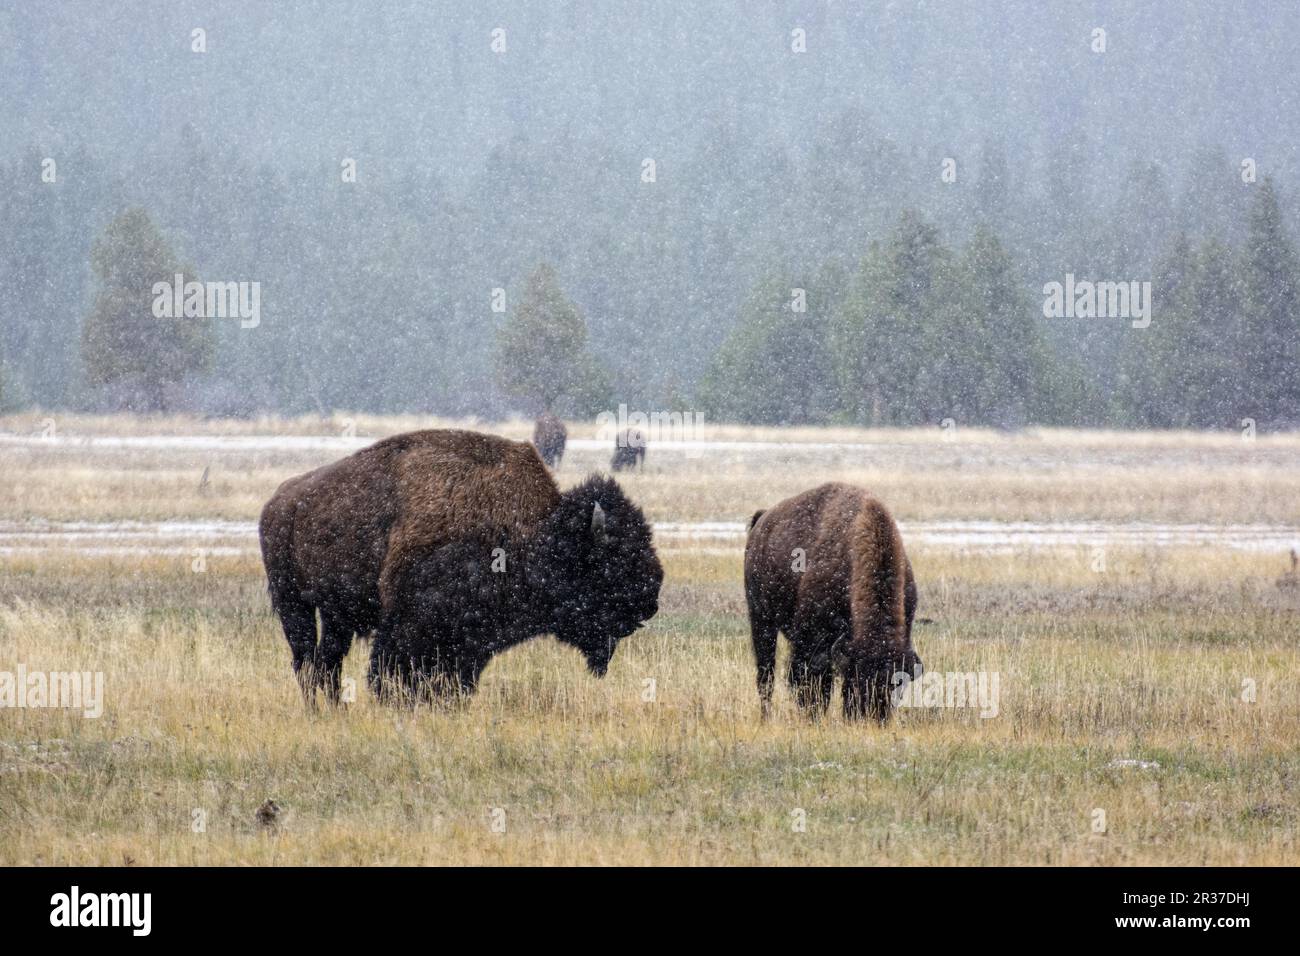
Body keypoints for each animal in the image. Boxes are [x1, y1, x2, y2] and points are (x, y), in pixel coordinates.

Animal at [744, 483, 920, 722]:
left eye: (897, 684)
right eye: (859, 678)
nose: (875, 717)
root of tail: (761, 520)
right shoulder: (813, 640)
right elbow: (812, 683)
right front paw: (813, 716)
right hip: (761, 620)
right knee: (766, 675)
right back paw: (766, 717)